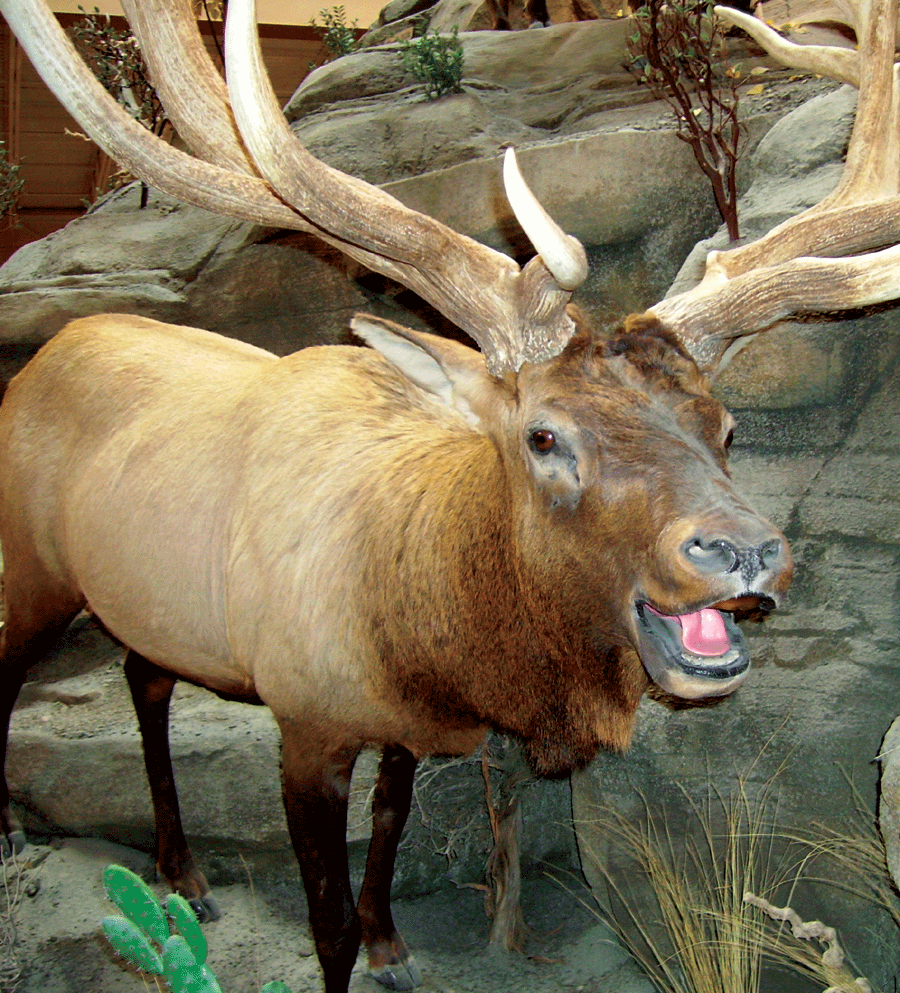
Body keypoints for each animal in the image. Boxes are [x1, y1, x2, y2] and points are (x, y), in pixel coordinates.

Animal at [0, 0, 897, 989]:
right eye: (543, 435)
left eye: (727, 425)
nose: (745, 548)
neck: (415, 636)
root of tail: (45, 354)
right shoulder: (304, 719)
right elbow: (325, 925)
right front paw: (359, 942)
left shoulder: (403, 726)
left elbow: (391, 827)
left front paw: (392, 939)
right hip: (31, 568)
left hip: (149, 601)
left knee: (143, 674)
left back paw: (181, 869)